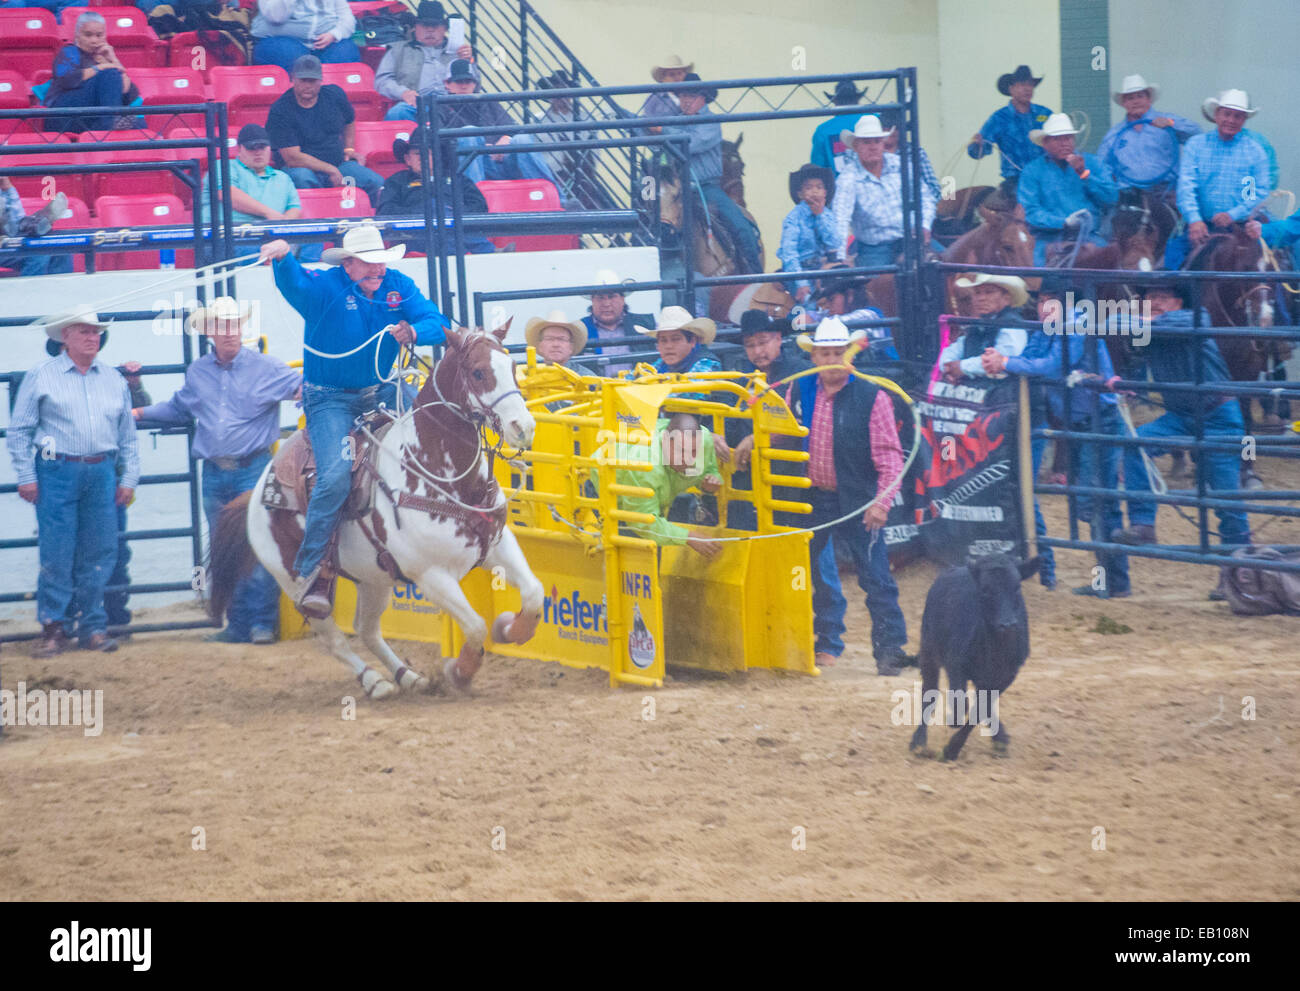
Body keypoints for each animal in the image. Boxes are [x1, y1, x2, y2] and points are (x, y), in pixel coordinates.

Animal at [909, 554, 1039, 761]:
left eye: (1017, 587)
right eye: (985, 590)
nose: (1007, 625)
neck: (995, 648)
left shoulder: (1007, 676)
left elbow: (981, 709)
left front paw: (953, 748)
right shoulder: (955, 664)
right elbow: (960, 702)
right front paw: (953, 726)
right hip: (928, 651)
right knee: (929, 693)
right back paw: (918, 742)